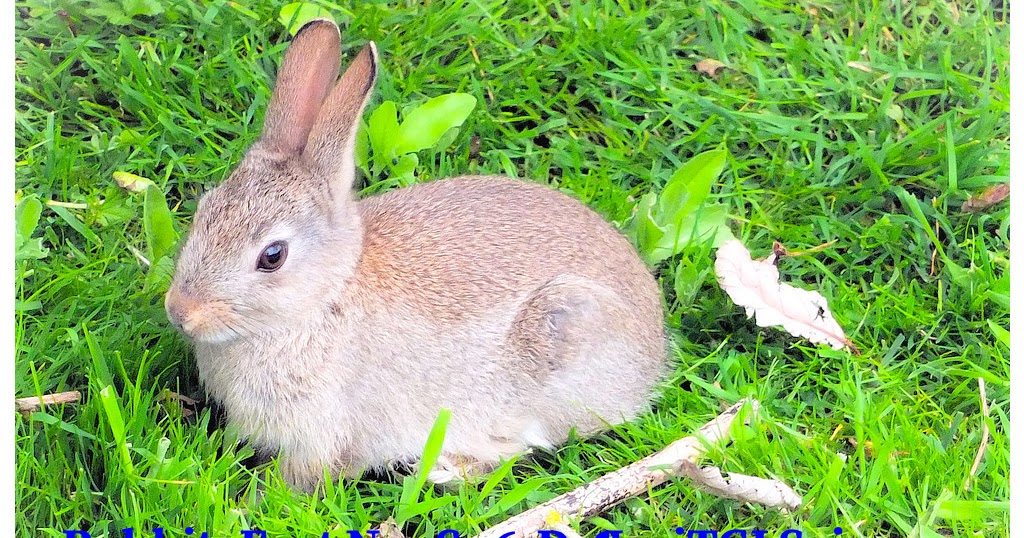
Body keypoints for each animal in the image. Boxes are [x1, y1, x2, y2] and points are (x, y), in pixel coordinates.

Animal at [164, 18, 668, 492]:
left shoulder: (324, 437)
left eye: (272, 256)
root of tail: (654, 349)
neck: (323, 298)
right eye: (205, 209)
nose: (181, 312)